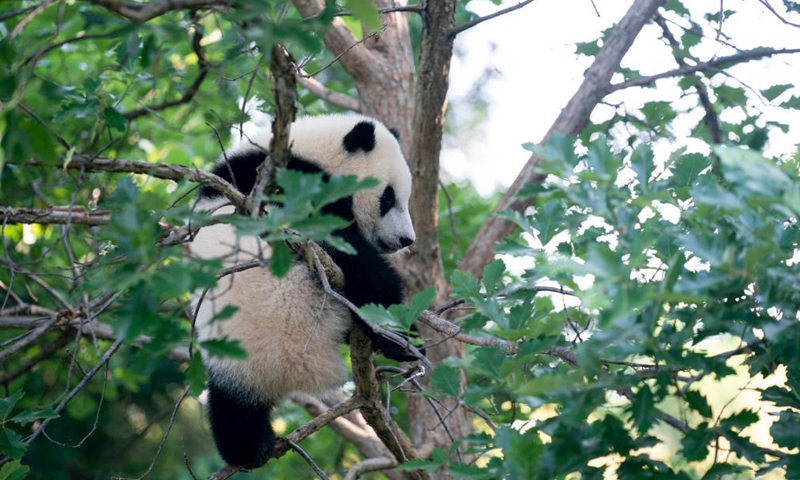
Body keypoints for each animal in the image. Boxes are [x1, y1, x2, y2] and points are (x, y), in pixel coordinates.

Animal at [189, 114, 420, 468]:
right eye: (388, 198)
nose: (406, 239)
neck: (312, 150)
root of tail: (288, 363)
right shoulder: (293, 181)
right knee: (366, 272)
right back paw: (401, 337)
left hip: (227, 362)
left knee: (230, 409)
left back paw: (249, 449)